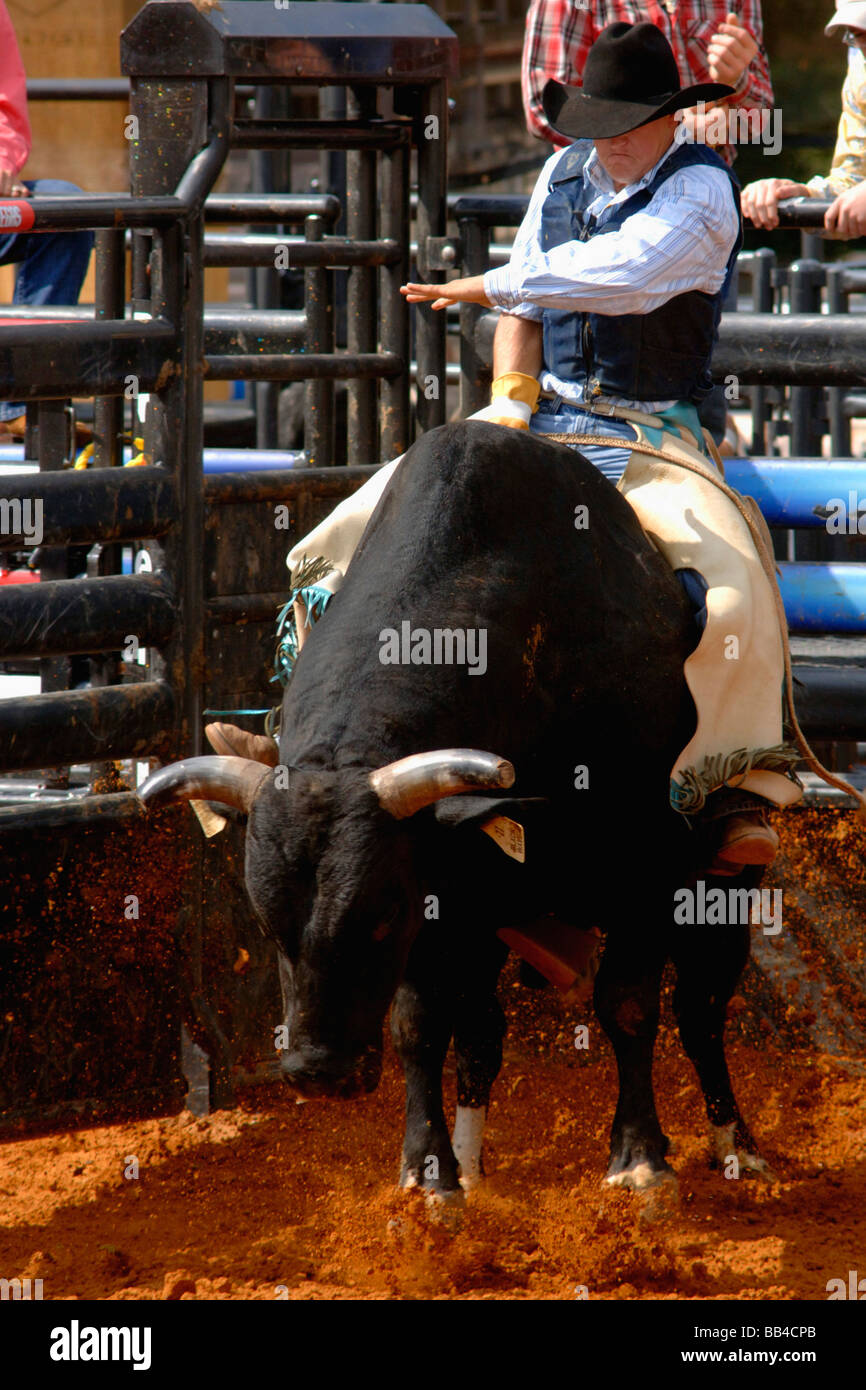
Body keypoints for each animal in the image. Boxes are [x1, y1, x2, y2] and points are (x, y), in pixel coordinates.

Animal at [140, 421, 770, 1213]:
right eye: (267, 919)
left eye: (381, 913)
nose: (318, 1072)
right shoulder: (448, 899)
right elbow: (424, 1026)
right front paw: (431, 1173)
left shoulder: (648, 871)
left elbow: (628, 1005)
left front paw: (638, 1160)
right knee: (482, 1032)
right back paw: (472, 1161)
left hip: (722, 886)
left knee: (701, 1007)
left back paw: (736, 1144)